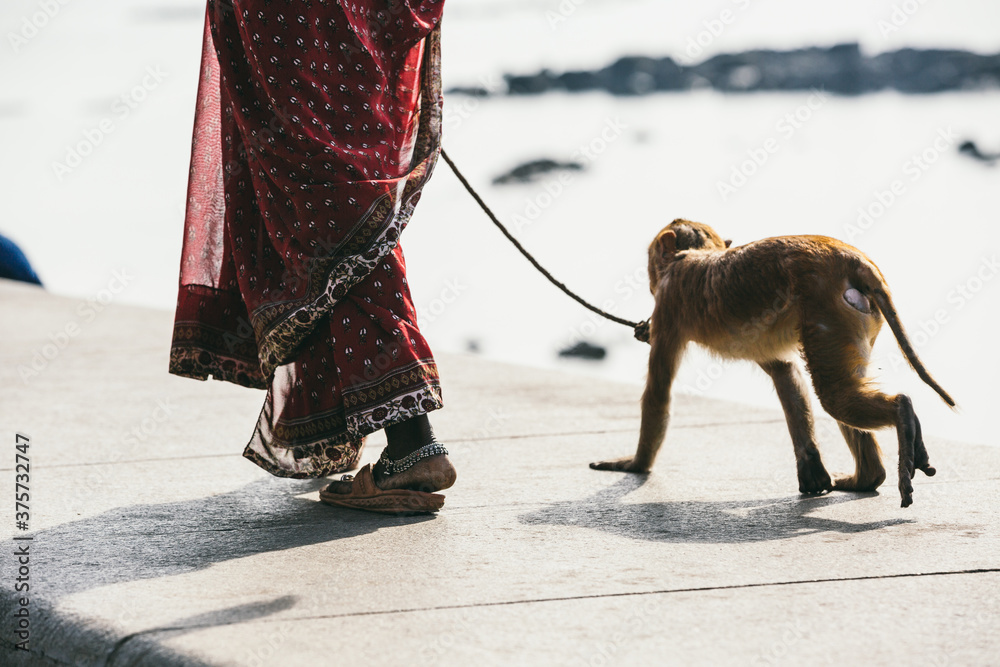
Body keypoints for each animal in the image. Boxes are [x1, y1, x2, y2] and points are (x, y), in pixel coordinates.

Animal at [591, 219, 956, 508]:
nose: (651, 279)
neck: (693, 256)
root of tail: (852, 259)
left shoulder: (668, 303)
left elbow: (659, 392)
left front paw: (634, 465)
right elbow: (785, 372)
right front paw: (812, 470)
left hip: (827, 312)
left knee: (835, 395)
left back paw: (901, 413)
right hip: (854, 320)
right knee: (840, 388)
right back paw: (867, 477)